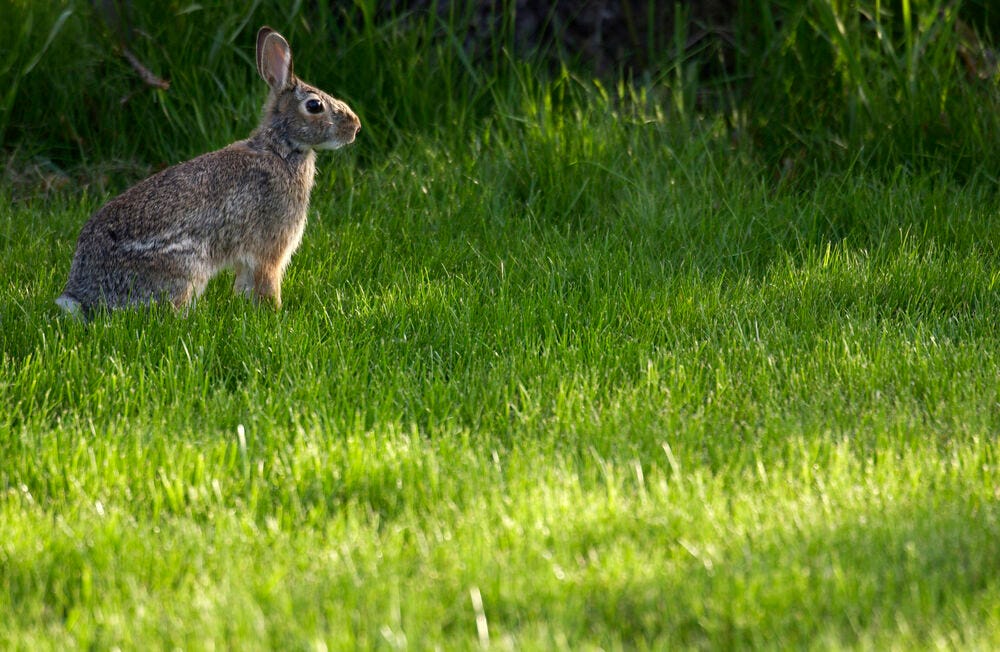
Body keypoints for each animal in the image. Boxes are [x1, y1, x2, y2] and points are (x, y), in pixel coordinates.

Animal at [56, 26, 361, 318]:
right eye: (315, 105)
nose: (355, 127)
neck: (281, 148)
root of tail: (81, 297)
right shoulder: (269, 249)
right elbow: (268, 283)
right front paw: (275, 314)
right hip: (186, 266)